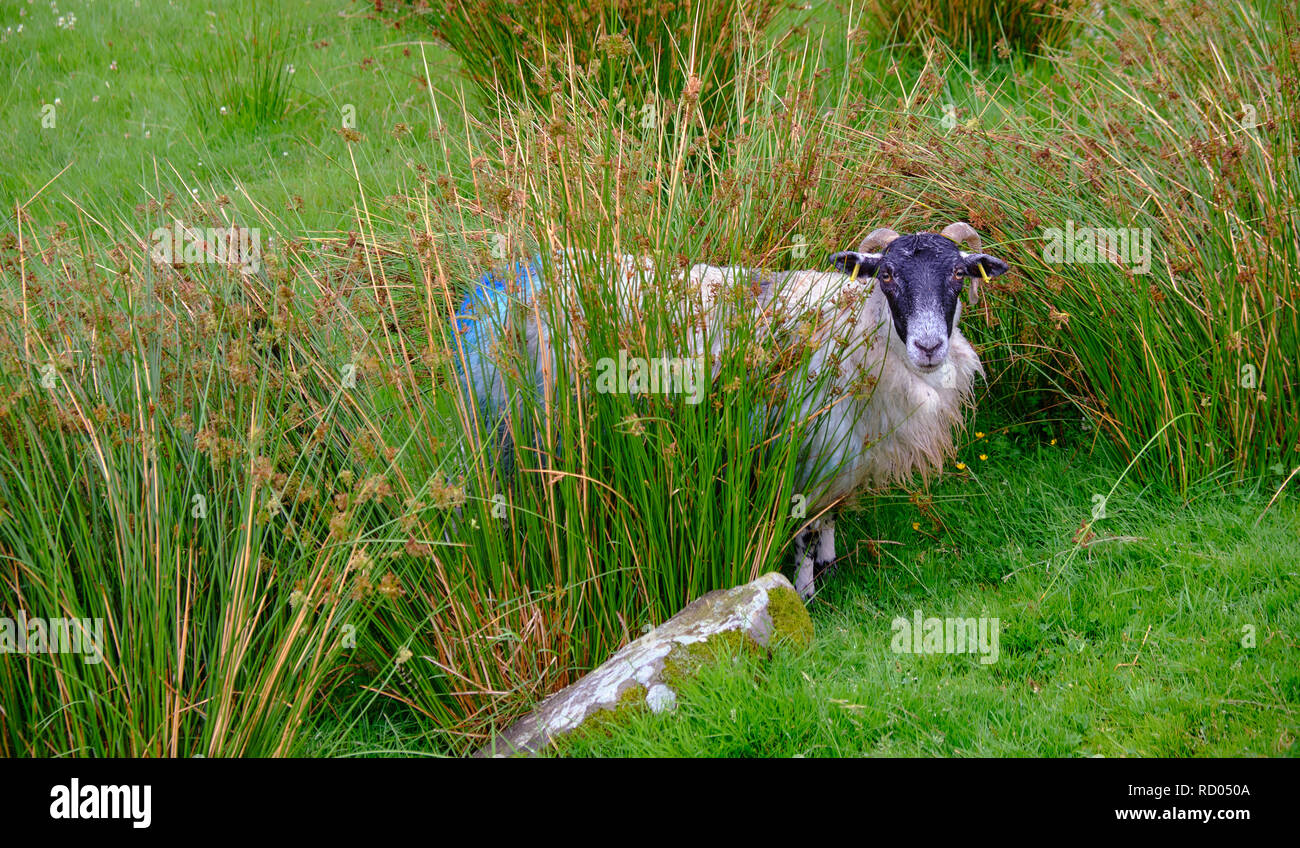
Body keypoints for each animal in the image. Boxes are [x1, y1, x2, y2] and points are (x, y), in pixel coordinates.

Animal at [453, 223, 1009, 599]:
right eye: (887, 274)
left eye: (959, 273)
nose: (930, 346)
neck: (859, 333)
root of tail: (503, 283)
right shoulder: (804, 449)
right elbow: (806, 527)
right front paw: (805, 589)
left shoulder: (844, 450)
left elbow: (829, 513)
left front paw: (829, 563)